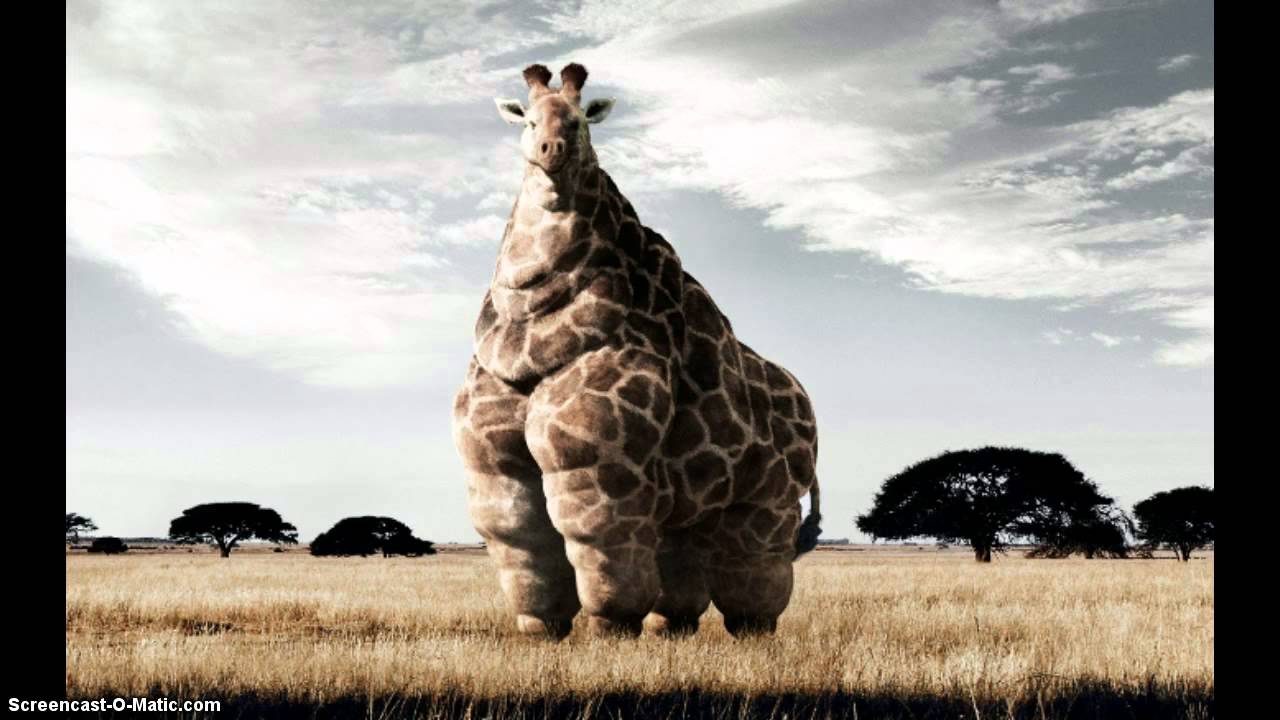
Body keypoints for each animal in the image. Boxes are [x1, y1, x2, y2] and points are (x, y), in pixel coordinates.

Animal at [452, 62, 822, 639]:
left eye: (580, 121)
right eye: (528, 119)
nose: (551, 150)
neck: (529, 327)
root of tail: (808, 406)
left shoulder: (597, 459)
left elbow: (599, 541)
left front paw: (611, 629)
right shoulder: (494, 464)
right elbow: (521, 537)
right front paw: (541, 629)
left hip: (768, 495)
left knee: (755, 565)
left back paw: (751, 631)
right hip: (695, 502)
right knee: (683, 564)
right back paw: (670, 628)